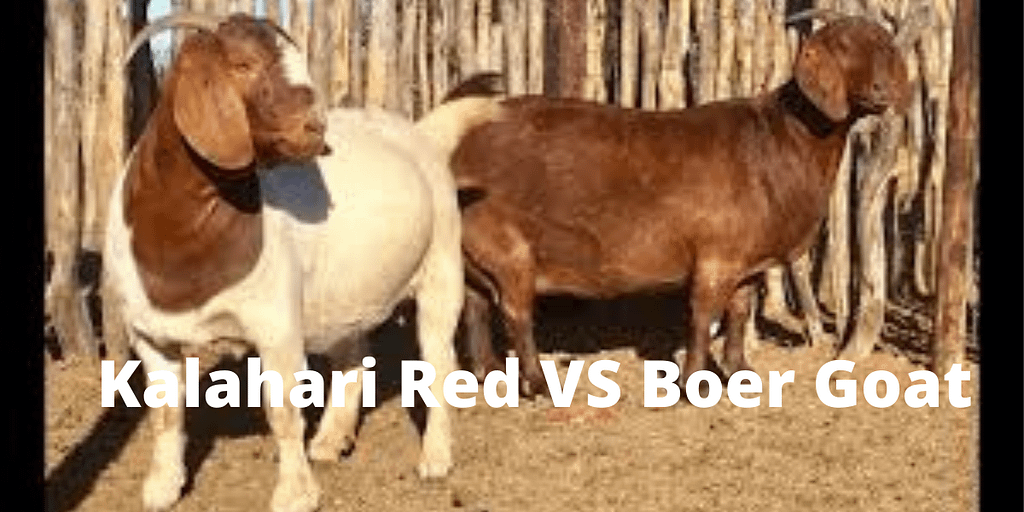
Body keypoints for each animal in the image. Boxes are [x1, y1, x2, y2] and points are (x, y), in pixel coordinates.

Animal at [104, 13, 473, 512]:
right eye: (242, 64)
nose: (315, 129)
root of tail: (419, 133)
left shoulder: (276, 322)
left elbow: (282, 409)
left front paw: (295, 494)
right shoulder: (147, 331)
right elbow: (165, 411)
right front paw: (162, 487)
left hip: (441, 265)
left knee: (439, 360)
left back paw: (435, 458)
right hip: (346, 289)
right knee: (353, 353)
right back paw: (331, 441)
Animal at [423, 15, 914, 397]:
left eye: (886, 49)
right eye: (842, 47)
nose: (880, 90)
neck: (782, 140)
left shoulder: (746, 263)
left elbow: (739, 314)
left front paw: (740, 374)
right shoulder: (715, 257)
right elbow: (702, 316)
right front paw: (693, 384)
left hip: (472, 245)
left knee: (474, 305)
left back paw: (485, 373)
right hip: (506, 245)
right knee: (514, 311)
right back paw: (539, 383)